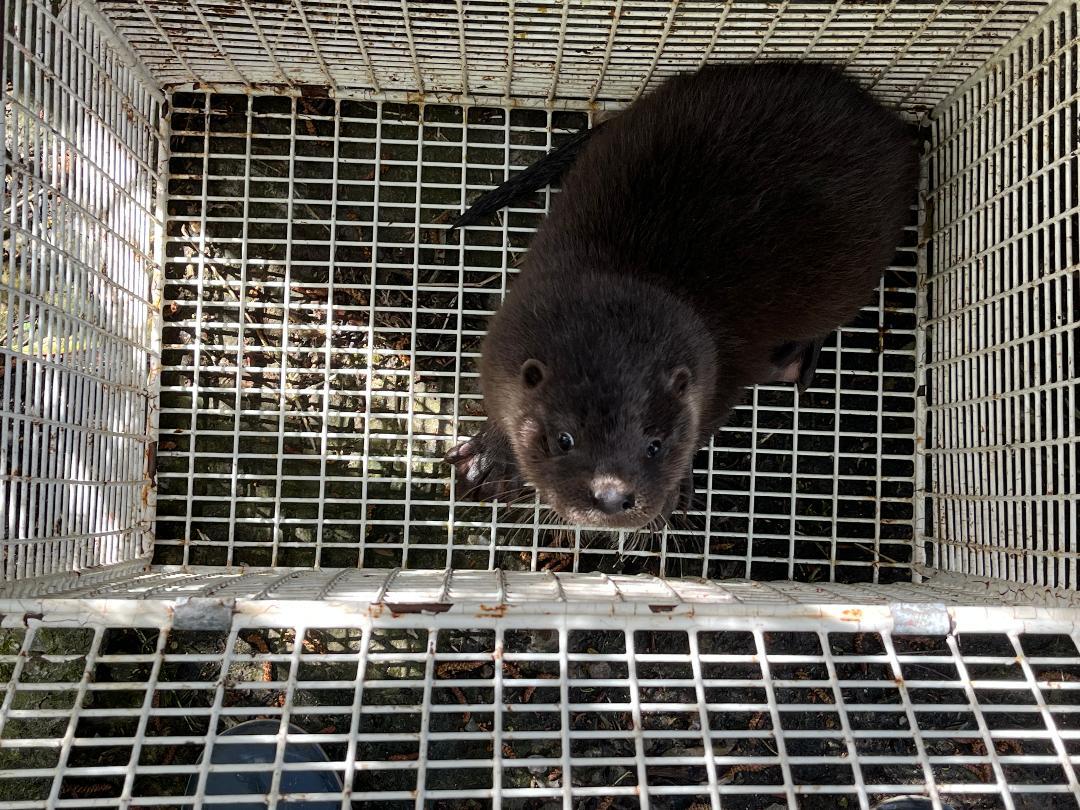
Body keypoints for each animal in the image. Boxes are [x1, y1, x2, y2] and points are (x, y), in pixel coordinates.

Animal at [446, 62, 920, 531]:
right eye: (564, 439)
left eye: (655, 445)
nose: (612, 498)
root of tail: (891, 122)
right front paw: (487, 461)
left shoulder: (722, 378)